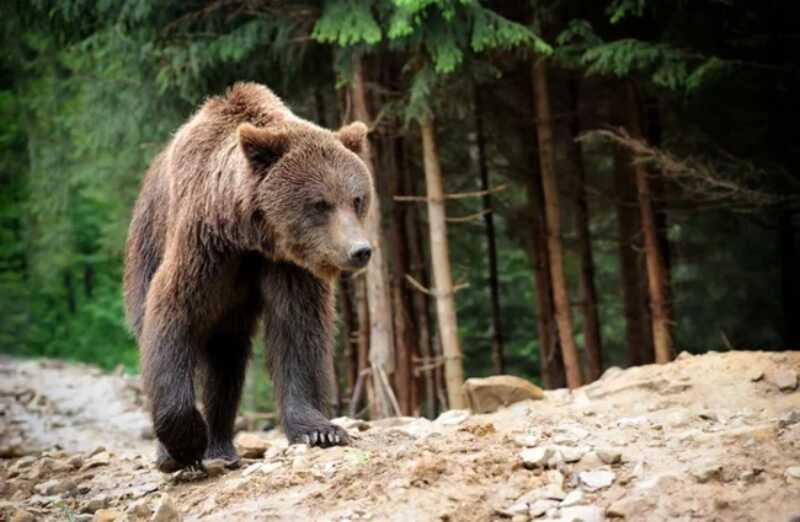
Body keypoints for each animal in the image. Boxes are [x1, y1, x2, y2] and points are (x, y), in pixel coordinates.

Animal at [123, 83, 374, 470]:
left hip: (231, 314)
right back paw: (181, 453)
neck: (249, 235)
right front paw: (184, 446)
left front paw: (320, 430)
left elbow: (298, 331)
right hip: (145, 247)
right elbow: (173, 313)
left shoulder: (288, 266)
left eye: (357, 198)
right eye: (320, 204)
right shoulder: (204, 248)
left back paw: (222, 447)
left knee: (226, 362)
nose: (360, 250)